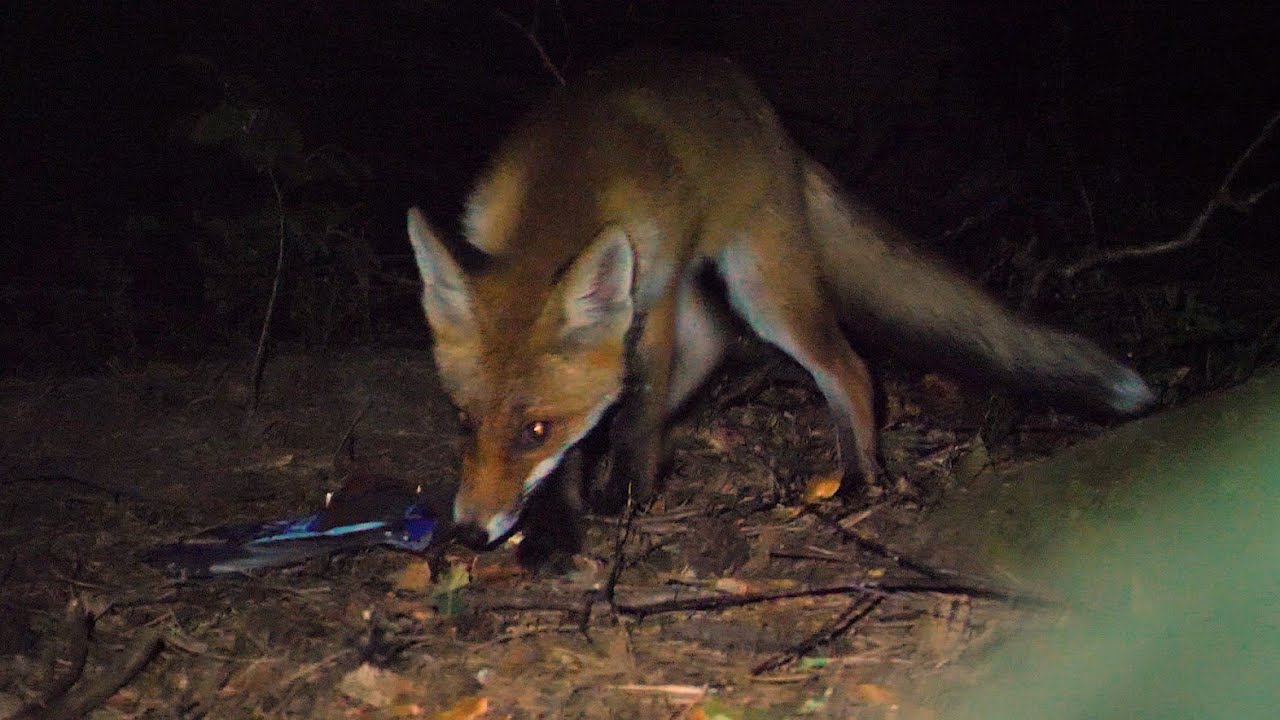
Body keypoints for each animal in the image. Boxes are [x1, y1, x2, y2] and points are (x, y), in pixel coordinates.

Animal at [406, 48, 1156, 548]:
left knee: (847, 367)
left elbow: (630, 419)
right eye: (463, 420)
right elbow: (599, 428)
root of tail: (770, 120)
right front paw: (562, 521)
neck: (572, 182)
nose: (469, 534)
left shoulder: (650, 302)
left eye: (535, 430)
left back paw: (861, 476)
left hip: (761, 284)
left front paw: (623, 497)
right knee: (713, 341)